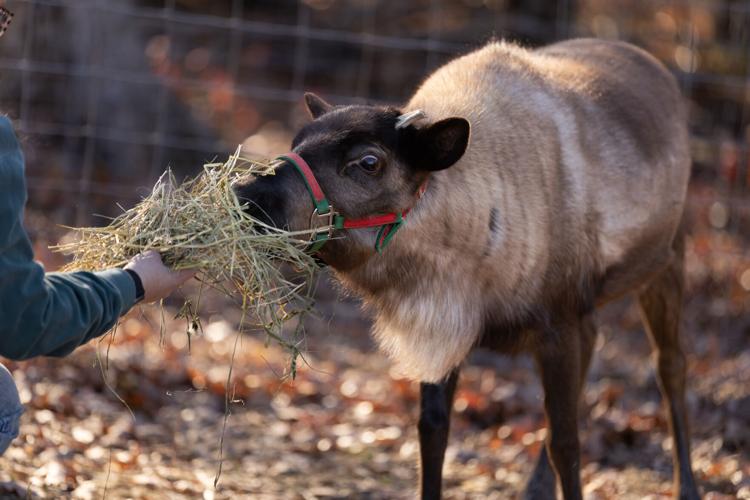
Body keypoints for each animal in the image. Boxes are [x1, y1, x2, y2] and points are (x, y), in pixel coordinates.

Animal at [234, 38, 700, 500]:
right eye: (297, 140)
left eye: (368, 162)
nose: (247, 196)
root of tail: (655, 67)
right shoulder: (440, 324)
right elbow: (433, 429)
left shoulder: (559, 321)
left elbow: (565, 443)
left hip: (668, 258)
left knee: (670, 367)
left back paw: (688, 486)